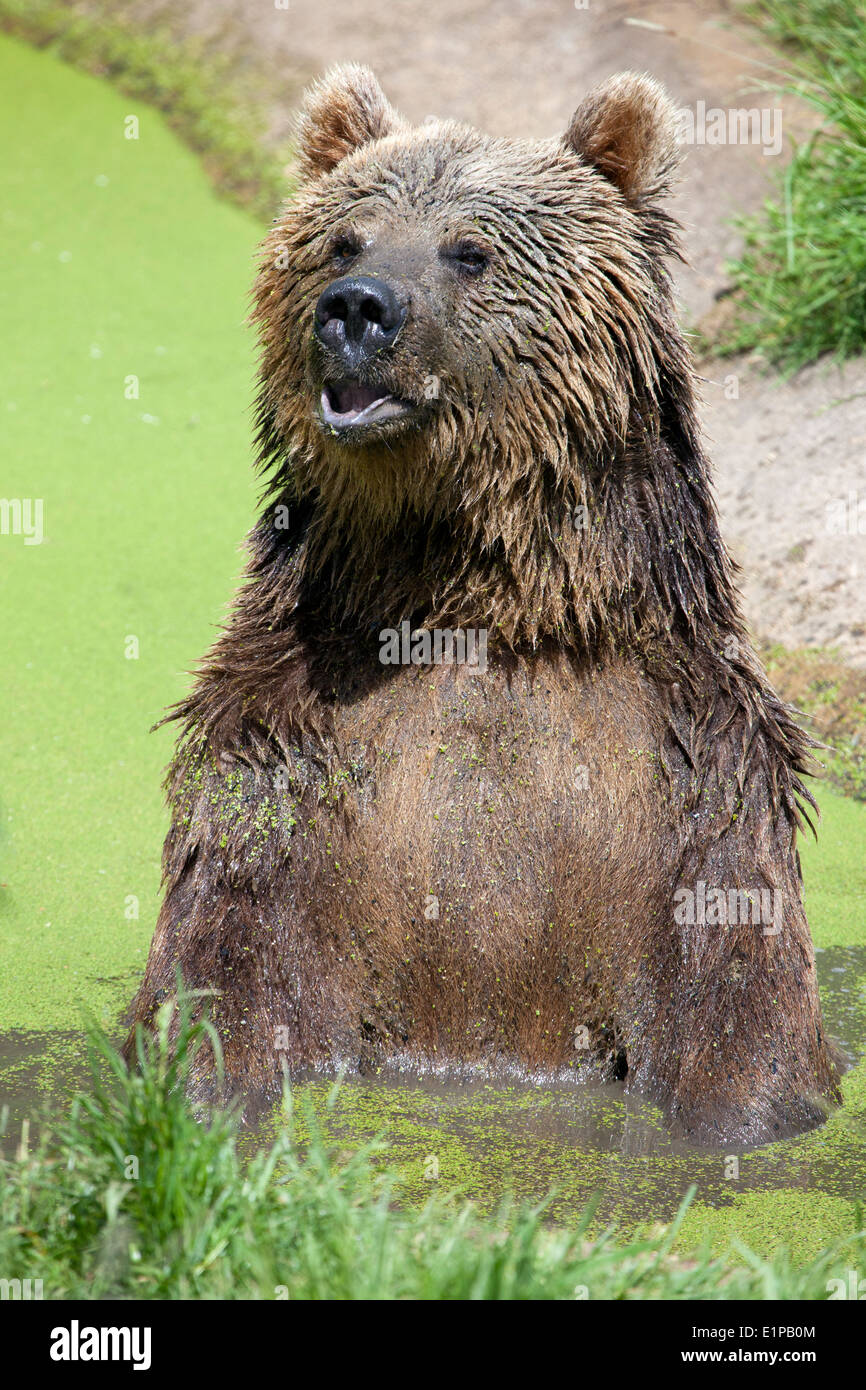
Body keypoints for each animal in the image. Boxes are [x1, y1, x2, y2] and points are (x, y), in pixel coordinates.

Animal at [128, 65, 840, 1146]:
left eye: (469, 249)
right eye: (345, 237)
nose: (357, 307)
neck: (481, 607)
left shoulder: (695, 775)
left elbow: (740, 1037)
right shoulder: (278, 745)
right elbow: (224, 987)